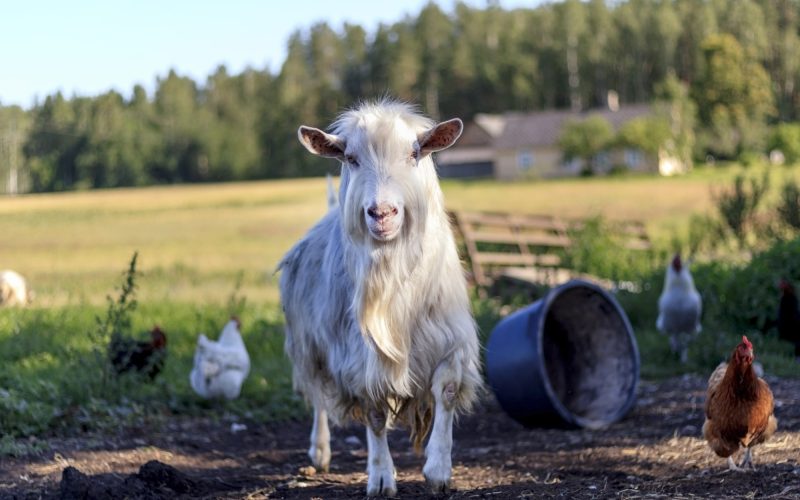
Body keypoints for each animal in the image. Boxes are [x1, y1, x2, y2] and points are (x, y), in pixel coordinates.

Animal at [278, 100, 481, 496]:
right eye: (351, 158)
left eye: (414, 153)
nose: (381, 213)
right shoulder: (358, 353)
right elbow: (373, 412)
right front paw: (382, 477)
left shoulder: (450, 336)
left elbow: (447, 389)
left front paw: (438, 469)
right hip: (308, 342)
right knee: (318, 398)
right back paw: (319, 451)